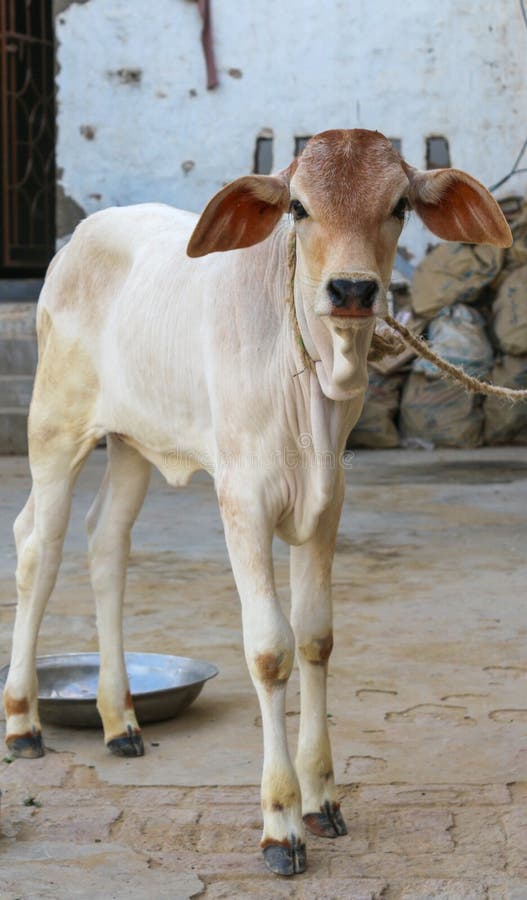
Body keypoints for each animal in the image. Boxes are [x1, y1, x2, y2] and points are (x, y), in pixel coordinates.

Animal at [3, 130, 511, 875]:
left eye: (398, 206)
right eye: (297, 207)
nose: (352, 289)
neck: (311, 384)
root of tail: (81, 236)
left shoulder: (326, 505)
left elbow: (316, 638)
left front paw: (322, 798)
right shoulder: (242, 500)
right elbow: (270, 649)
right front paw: (279, 822)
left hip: (132, 442)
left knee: (106, 542)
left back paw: (119, 719)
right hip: (54, 428)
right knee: (40, 544)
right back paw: (22, 722)